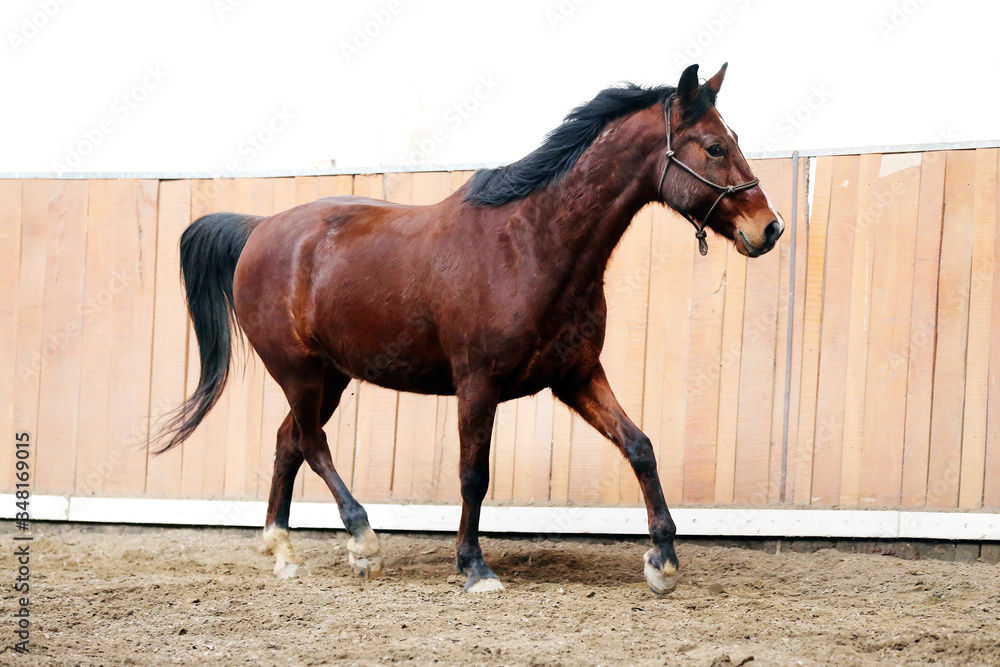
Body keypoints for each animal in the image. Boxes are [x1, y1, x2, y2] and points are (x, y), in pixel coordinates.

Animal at [154, 63, 783, 595]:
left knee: (289, 443)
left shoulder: (577, 376)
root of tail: (259, 229)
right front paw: (473, 567)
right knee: (311, 443)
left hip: (330, 377)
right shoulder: (478, 384)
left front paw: (662, 561)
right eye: (715, 146)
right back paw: (362, 540)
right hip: (300, 373)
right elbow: (473, 475)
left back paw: (285, 553)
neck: (531, 246)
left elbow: (641, 446)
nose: (769, 228)